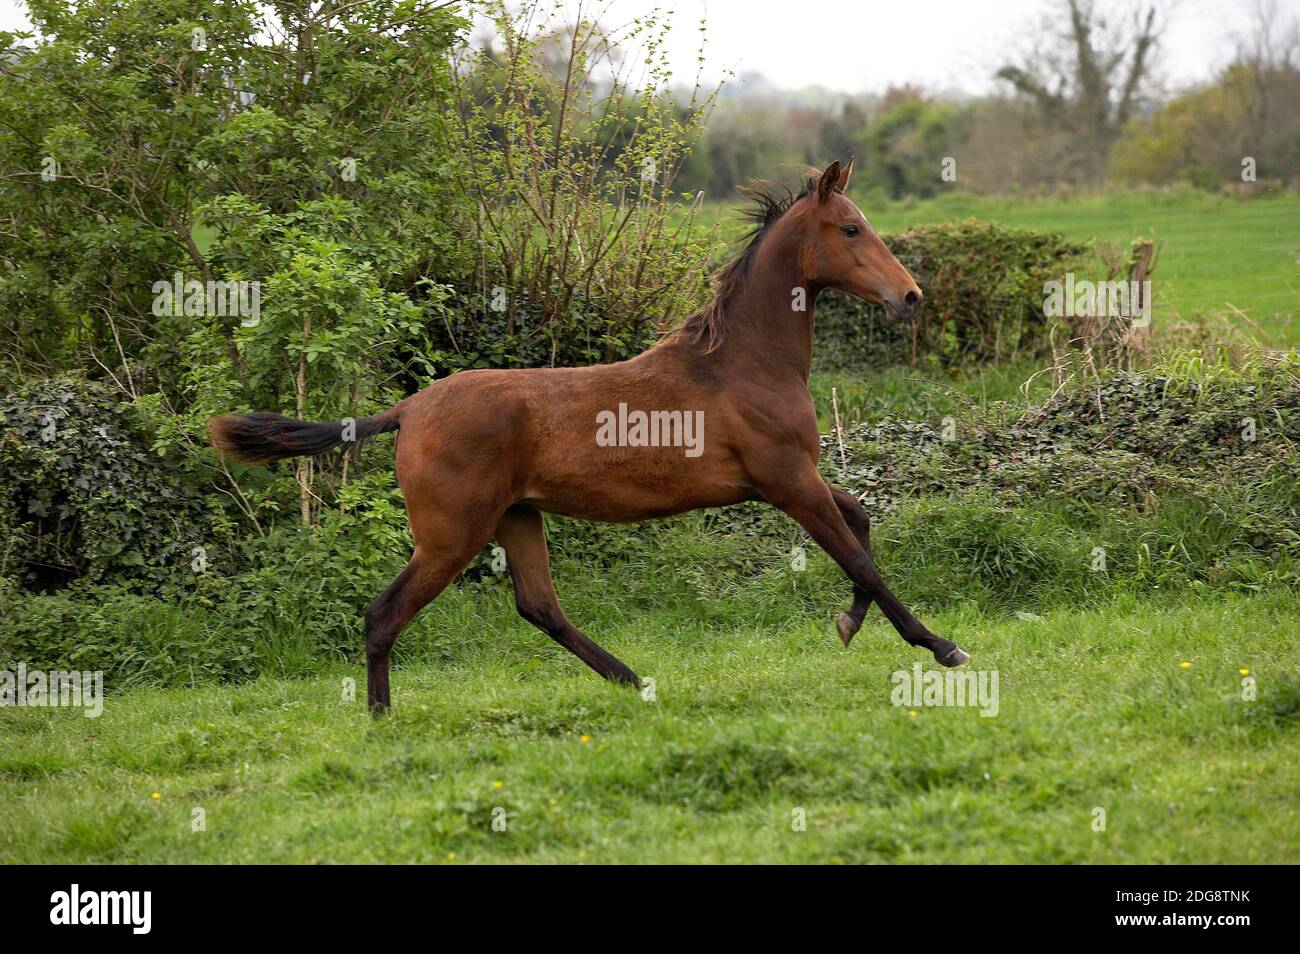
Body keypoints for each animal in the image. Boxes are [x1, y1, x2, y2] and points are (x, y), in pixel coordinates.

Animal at [209, 159, 971, 714]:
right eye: (850, 229)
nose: (910, 297)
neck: (742, 362)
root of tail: (408, 410)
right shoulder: (787, 481)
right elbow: (861, 558)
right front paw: (941, 646)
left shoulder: (785, 480)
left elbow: (861, 521)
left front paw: (849, 624)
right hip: (451, 535)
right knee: (383, 613)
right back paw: (381, 718)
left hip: (517, 516)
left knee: (539, 606)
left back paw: (630, 679)